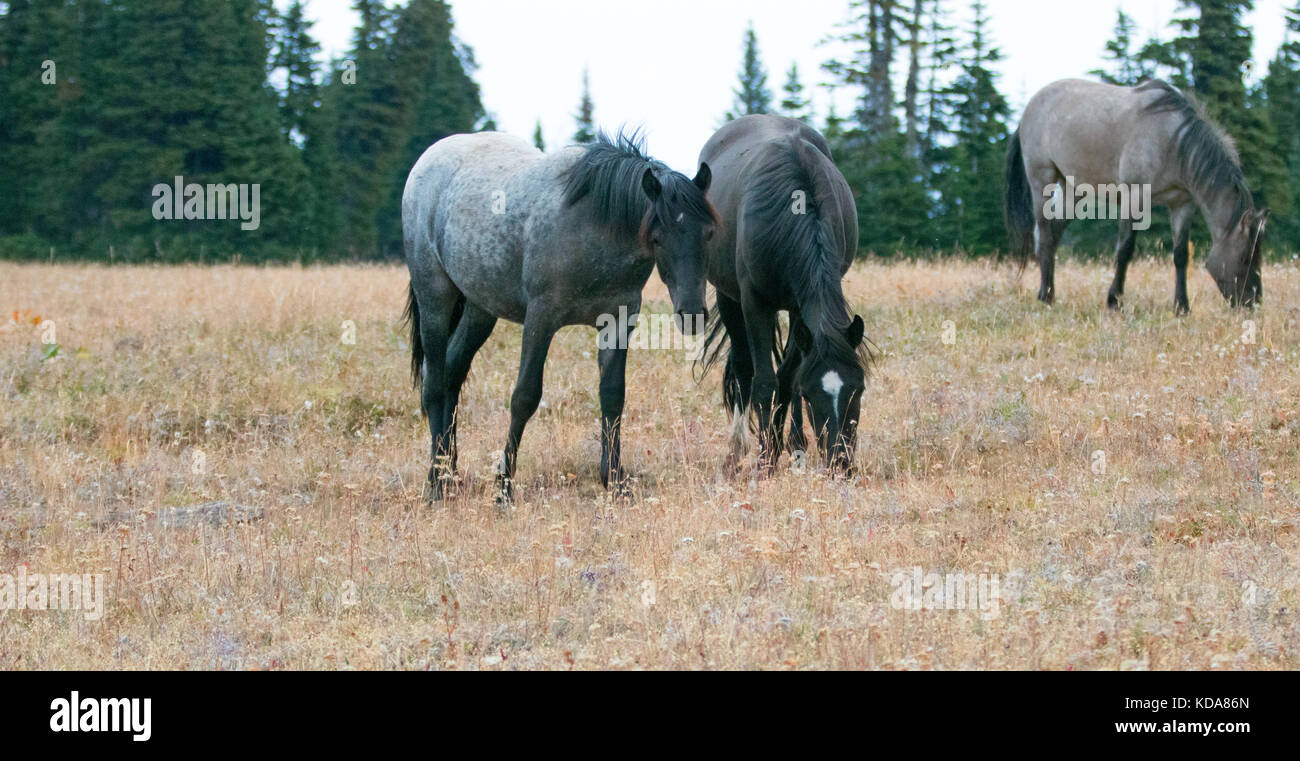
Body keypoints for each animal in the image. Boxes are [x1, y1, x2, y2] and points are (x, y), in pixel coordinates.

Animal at [402, 130, 717, 502]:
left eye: (708, 233)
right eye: (657, 237)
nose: (693, 311)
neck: (594, 223)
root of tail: (428, 159)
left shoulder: (618, 321)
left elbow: (613, 396)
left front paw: (615, 480)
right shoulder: (541, 318)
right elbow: (524, 397)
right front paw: (503, 486)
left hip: (480, 310)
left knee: (452, 372)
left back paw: (449, 470)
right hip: (435, 298)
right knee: (434, 383)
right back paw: (436, 482)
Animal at [697, 114, 869, 473]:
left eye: (857, 389)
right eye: (812, 395)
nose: (840, 464)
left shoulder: (801, 307)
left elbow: (788, 378)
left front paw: (784, 447)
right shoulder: (754, 304)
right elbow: (765, 382)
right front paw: (765, 460)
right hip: (728, 298)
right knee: (743, 368)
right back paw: (736, 450)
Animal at [1005, 78, 1267, 312]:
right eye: (1246, 257)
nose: (1253, 301)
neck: (1172, 140)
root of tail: (1030, 106)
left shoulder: (1182, 204)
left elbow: (1181, 254)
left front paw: (1181, 306)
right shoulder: (1133, 198)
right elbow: (1125, 250)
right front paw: (1114, 301)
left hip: (1074, 190)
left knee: (1053, 234)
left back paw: (1051, 292)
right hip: (1042, 181)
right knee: (1045, 234)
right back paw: (1045, 296)